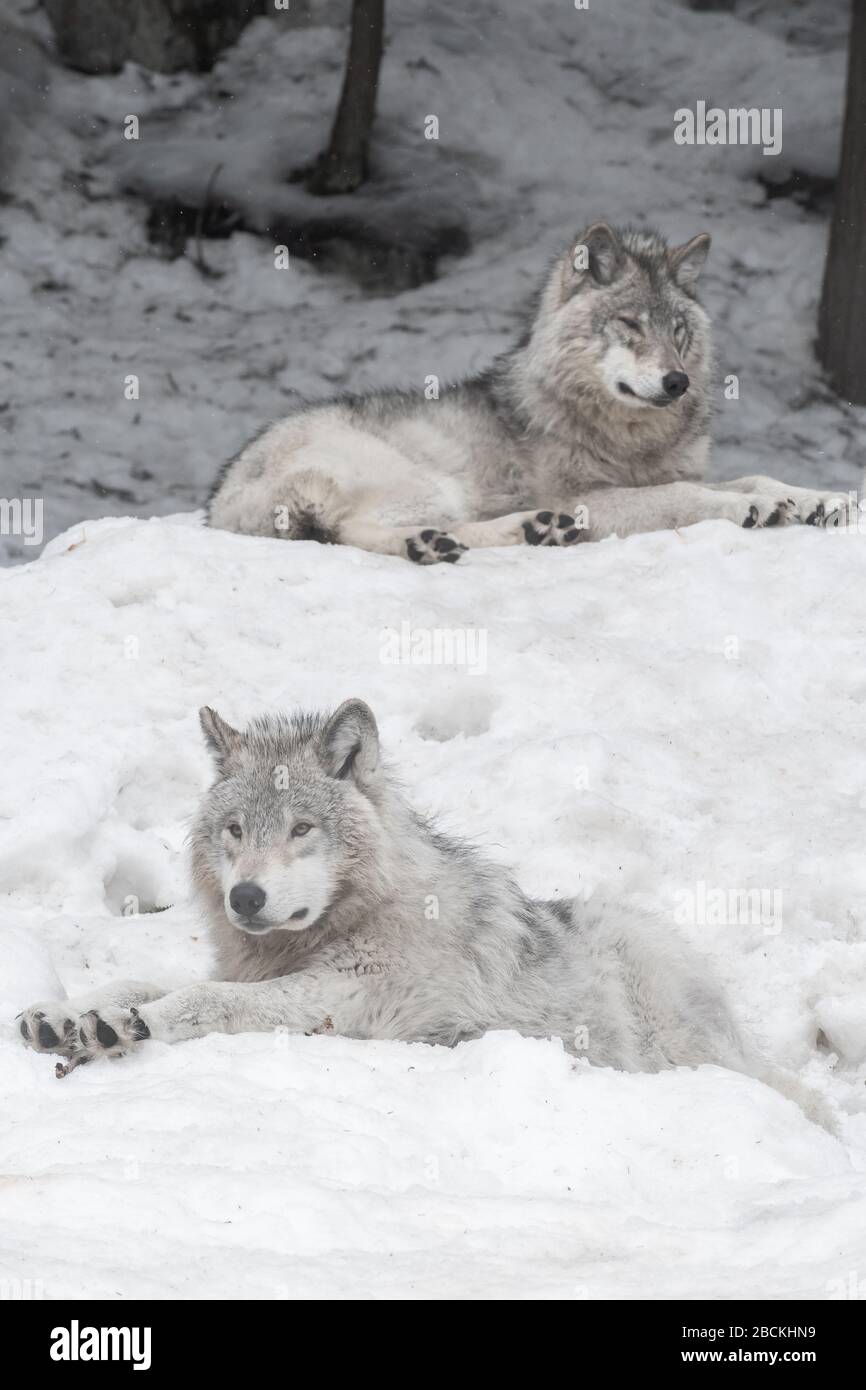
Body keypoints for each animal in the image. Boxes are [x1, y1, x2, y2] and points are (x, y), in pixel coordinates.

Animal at [15, 701, 830, 1125]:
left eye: (301, 829)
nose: (245, 898)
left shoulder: (341, 999)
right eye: (236, 831)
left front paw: (130, 1027)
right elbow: (140, 978)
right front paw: (71, 1014)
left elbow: (202, 999)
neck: (361, 912)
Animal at [207, 222, 846, 563]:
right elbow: (688, 496)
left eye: (678, 331)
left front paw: (820, 498)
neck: (629, 436)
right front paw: (746, 509)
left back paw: (526, 531)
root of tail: (223, 499)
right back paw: (445, 541)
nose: (676, 381)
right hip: (422, 478)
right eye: (630, 325)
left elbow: (756, 476)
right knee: (351, 533)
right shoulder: (593, 496)